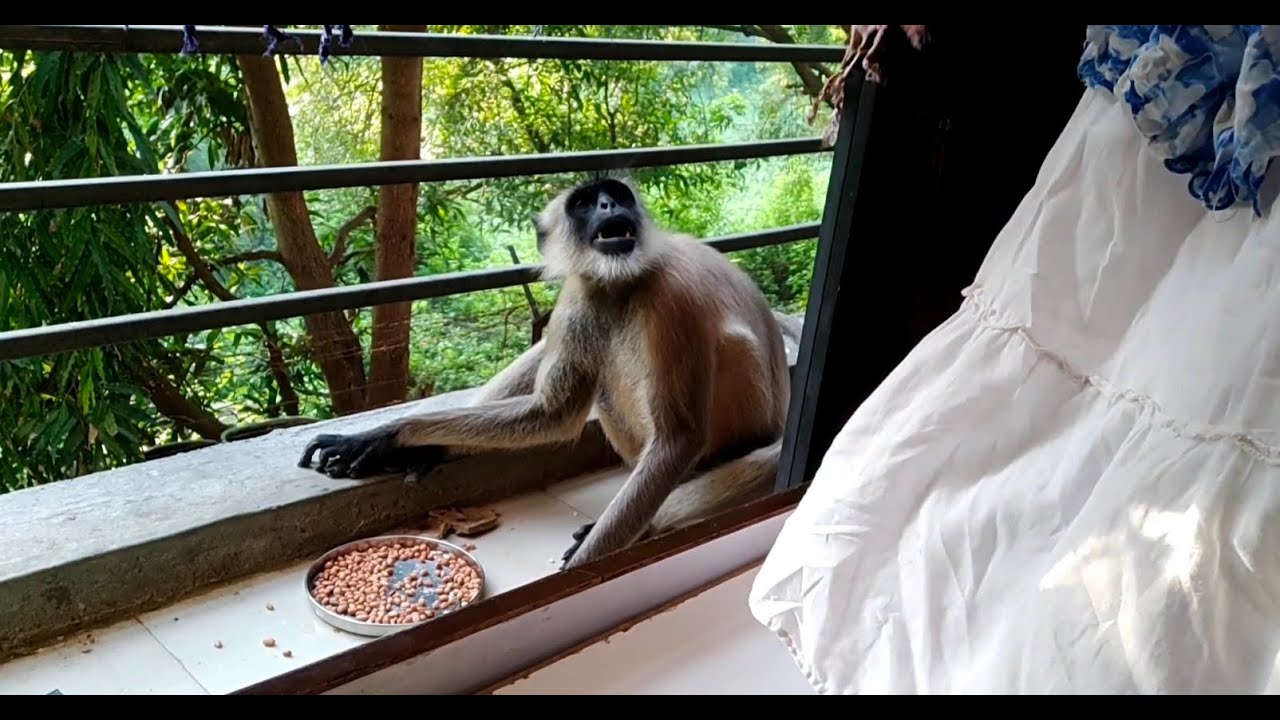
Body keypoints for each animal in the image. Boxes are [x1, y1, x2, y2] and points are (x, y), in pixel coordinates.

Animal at [298, 175, 801, 569]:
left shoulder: (672, 298)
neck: (627, 277)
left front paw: (587, 566)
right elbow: (550, 409)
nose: (610, 206)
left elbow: (675, 437)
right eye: (585, 203)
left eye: (616, 195)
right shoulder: (584, 290)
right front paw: (399, 441)